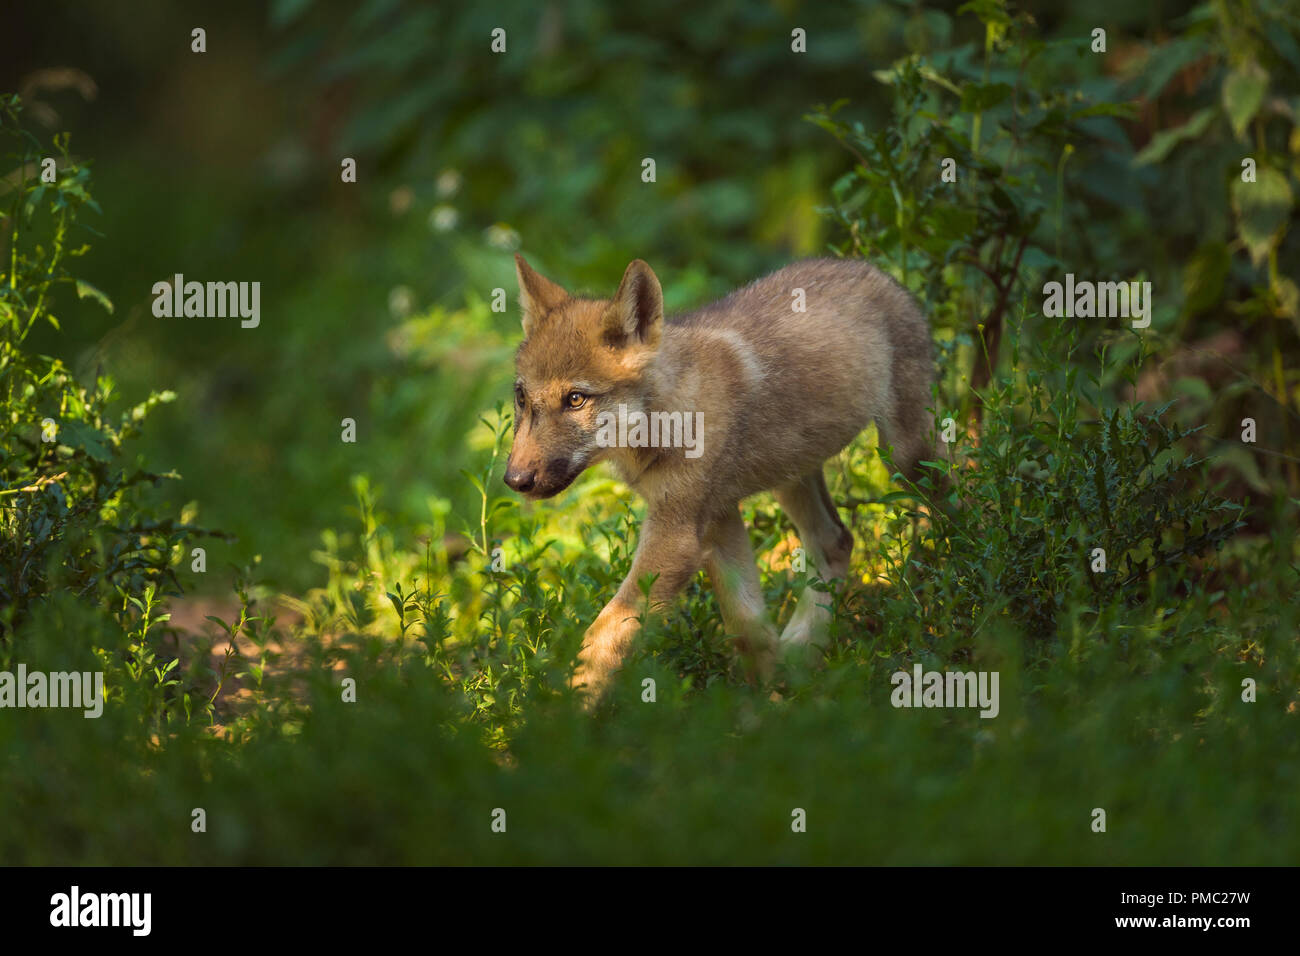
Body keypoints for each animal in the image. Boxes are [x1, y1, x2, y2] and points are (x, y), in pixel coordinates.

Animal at [505, 255, 935, 704]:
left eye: (575, 399)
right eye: (522, 397)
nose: (515, 479)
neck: (668, 418)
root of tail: (869, 268)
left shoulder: (676, 539)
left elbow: (602, 635)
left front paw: (561, 710)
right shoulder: (717, 521)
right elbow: (749, 629)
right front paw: (770, 702)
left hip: (904, 459)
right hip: (792, 479)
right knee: (836, 543)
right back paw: (801, 657)